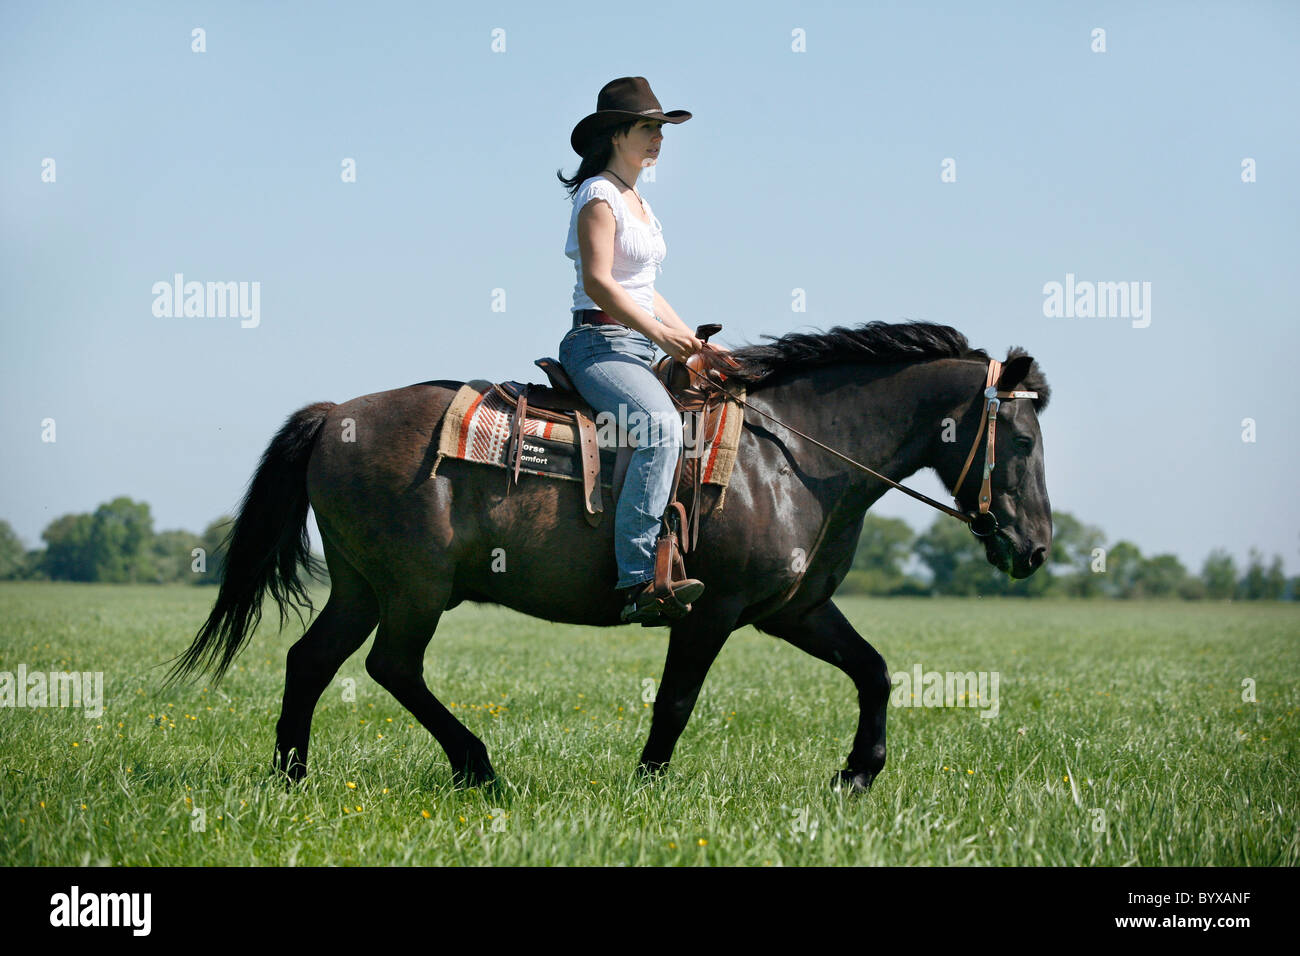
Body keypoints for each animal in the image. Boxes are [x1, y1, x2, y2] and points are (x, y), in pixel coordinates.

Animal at [167, 320, 1052, 793]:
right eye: (1024, 439)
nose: (1035, 549)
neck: (794, 454)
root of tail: (334, 415)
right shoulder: (710, 610)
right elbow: (677, 703)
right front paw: (648, 783)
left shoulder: (795, 611)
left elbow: (874, 670)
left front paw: (857, 774)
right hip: (414, 590)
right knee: (391, 667)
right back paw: (478, 767)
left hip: (360, 586)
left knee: (311, 661)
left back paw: (292, 776)